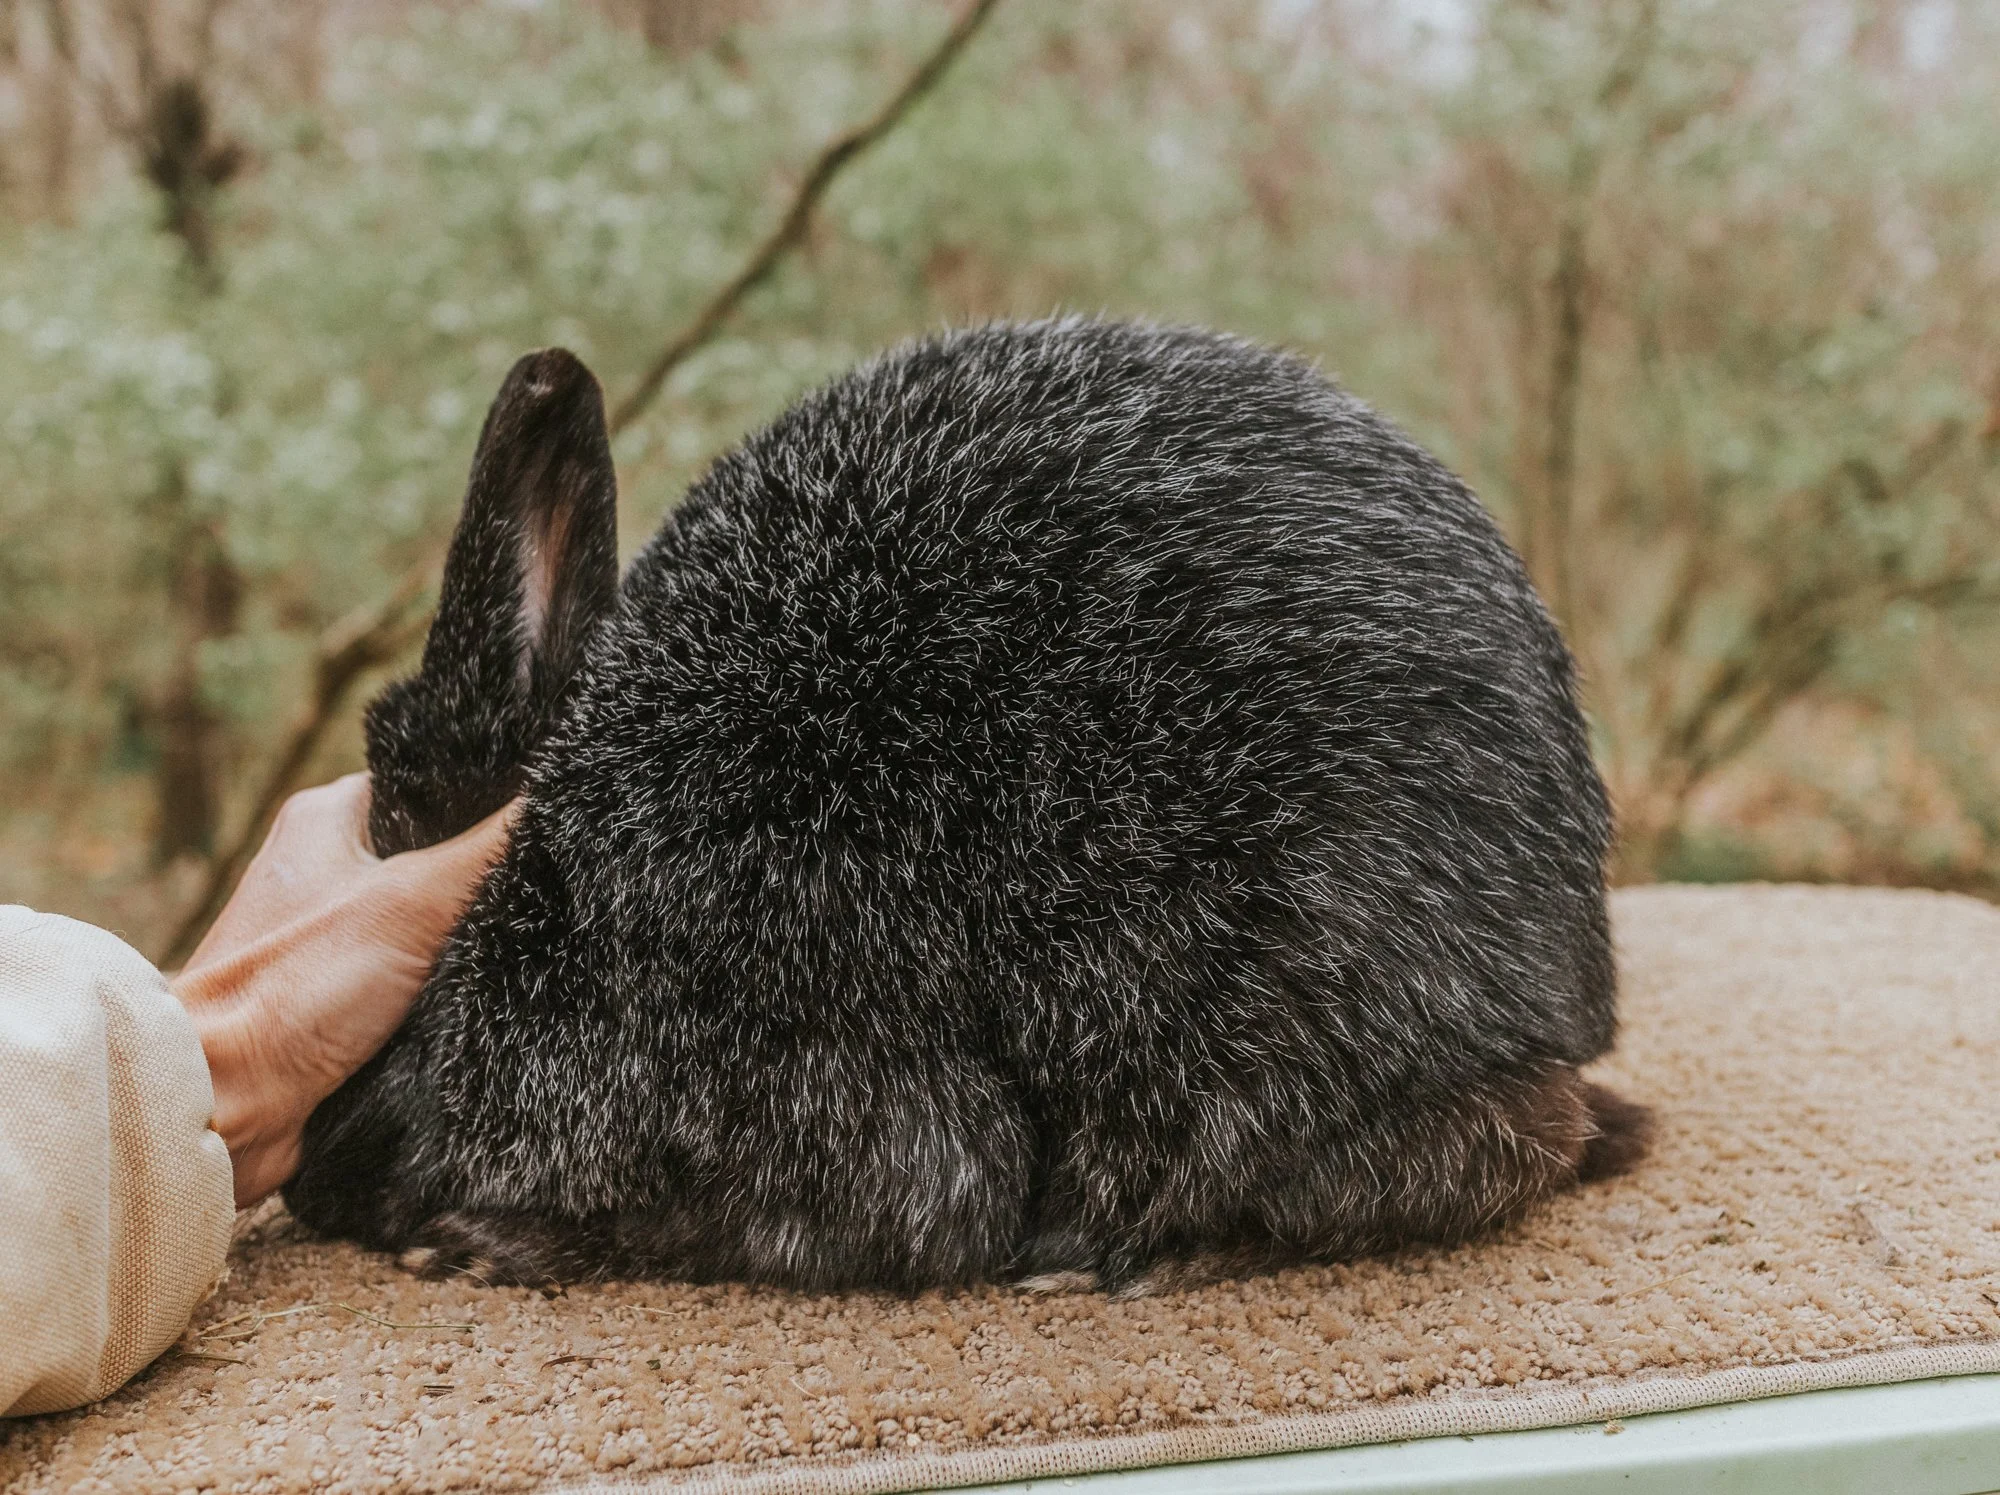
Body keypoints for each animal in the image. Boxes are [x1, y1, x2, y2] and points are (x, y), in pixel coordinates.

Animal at [284, 317, 1650, 1293]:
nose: (301, 1186)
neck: (552, 884)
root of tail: (1568, 979)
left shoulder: (848, 1118)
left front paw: (480, 1242)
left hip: (1257, 1054)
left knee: (1509, 1146)